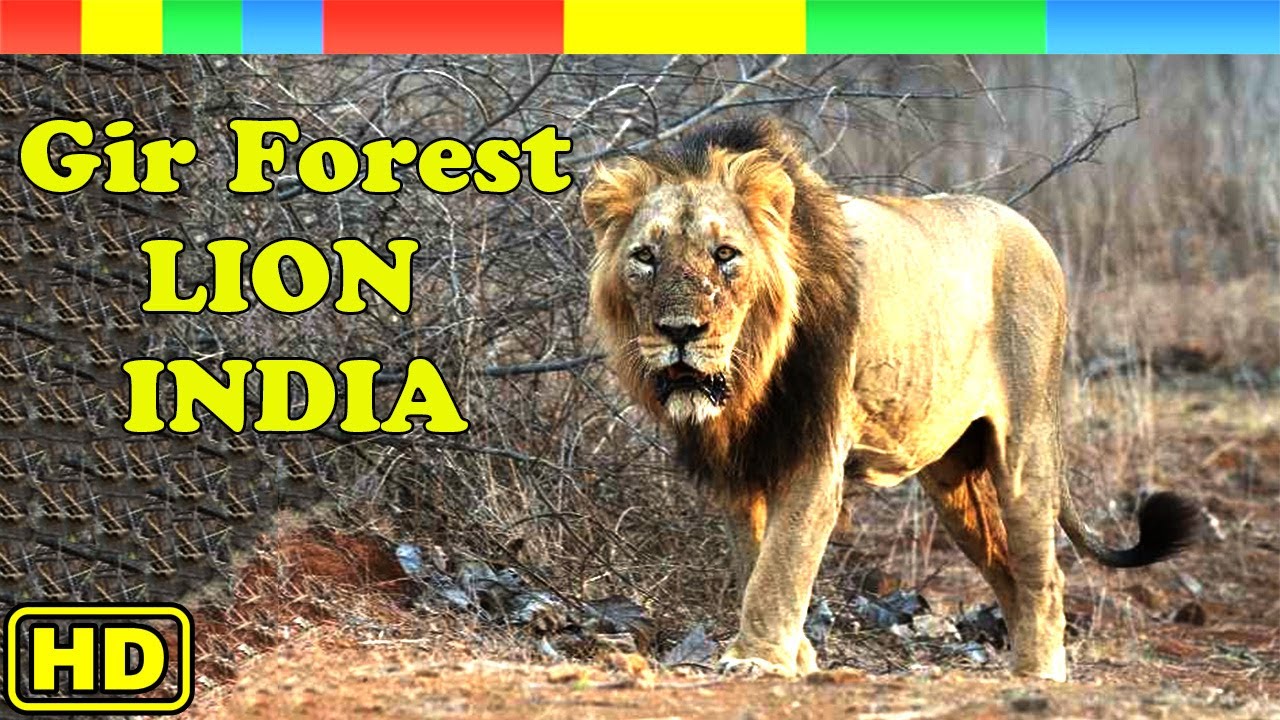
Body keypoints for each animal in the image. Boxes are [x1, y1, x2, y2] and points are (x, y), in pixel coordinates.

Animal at [581, 118, 1200, 681]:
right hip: (953, 481)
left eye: (725, 254)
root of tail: (1029, 228)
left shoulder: (814, 452)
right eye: (645, 257)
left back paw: (1041, 673)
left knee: (1043, 570)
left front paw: (758, 659)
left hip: (1026, 444)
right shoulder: (741, 465)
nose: (679, 331)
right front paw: (794, 656)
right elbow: (756, 560)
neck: (750, 379)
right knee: (1005, 568)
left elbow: (782, 562)